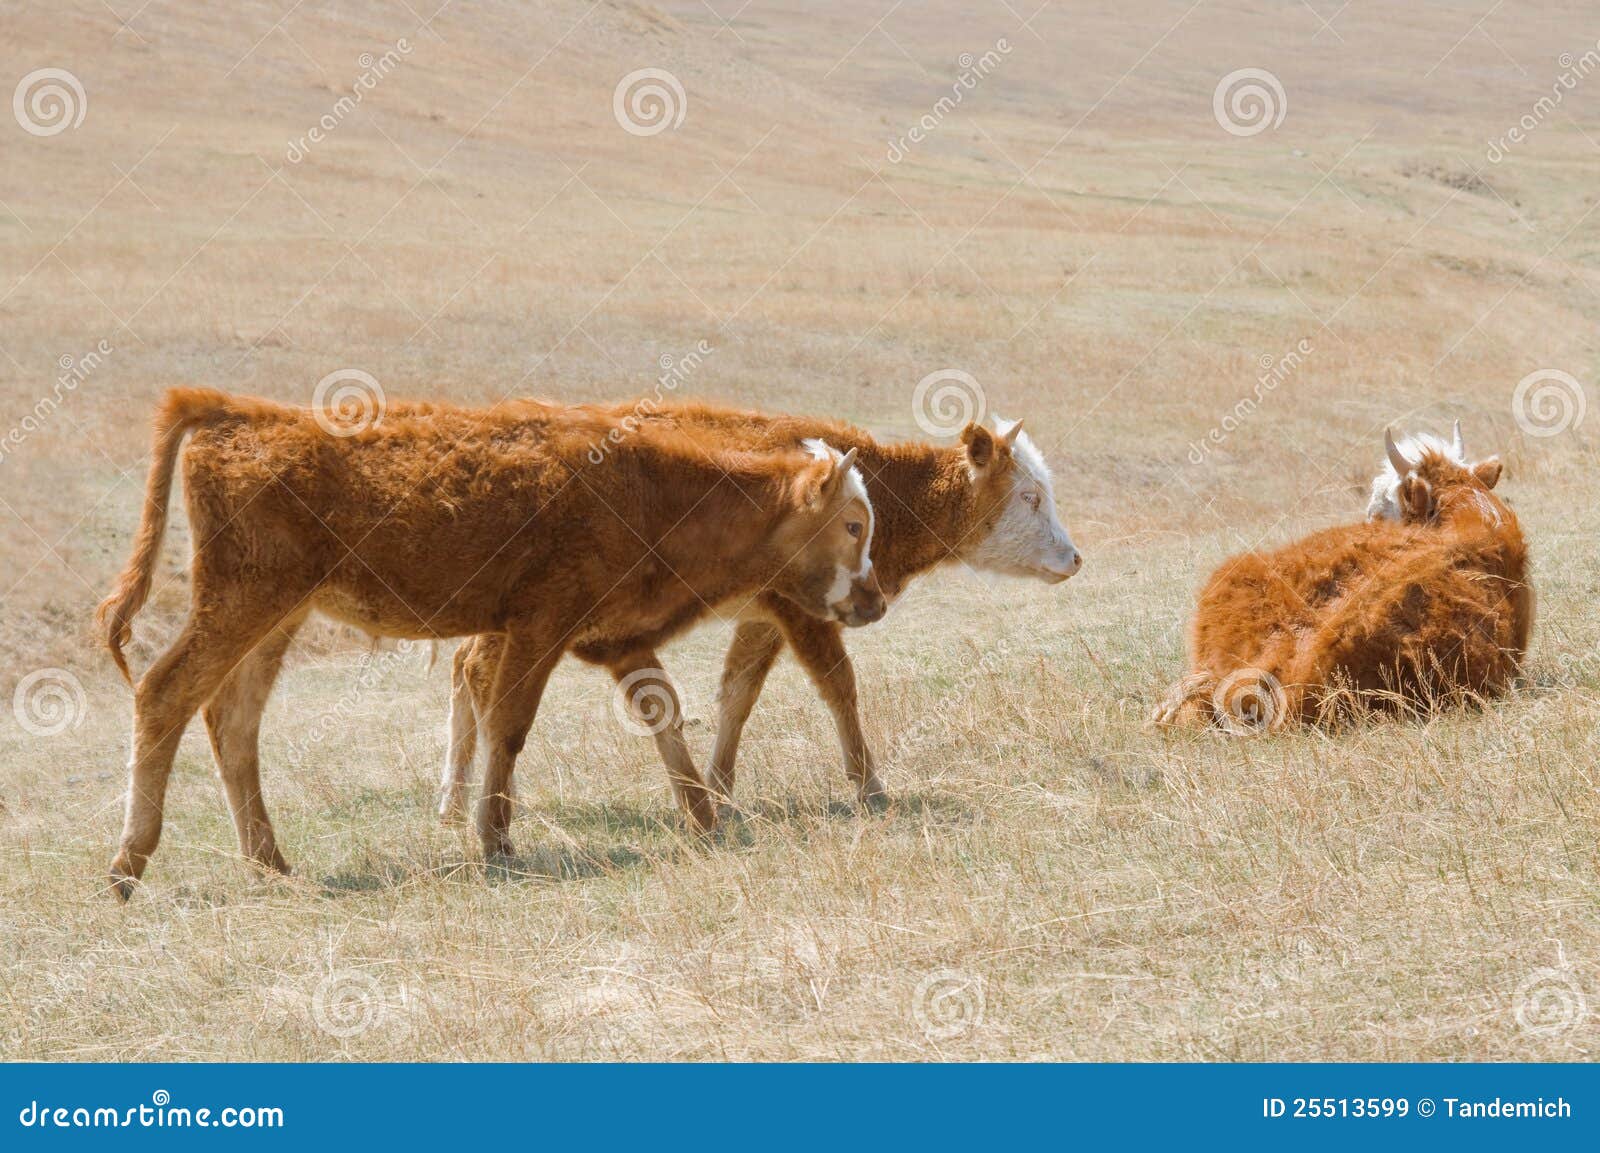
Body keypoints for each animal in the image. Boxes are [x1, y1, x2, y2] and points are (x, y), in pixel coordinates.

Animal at [95, 389, 883, 896]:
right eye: (852, 524)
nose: (873, 600)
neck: (651, 488)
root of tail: (238, 413)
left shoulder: (618, 638)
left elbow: (662, 714)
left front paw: (704, 816)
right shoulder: (539, 628)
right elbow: (509, 728)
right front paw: (495, 842)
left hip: (275, 619)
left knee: (232, 721)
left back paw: (268, 860)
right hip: (239, 605)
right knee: (165, 694)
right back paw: (129, 863)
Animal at [440, 402, 1082, 821]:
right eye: (1029, 496)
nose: (1074, 558)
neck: (877, 490)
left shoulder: (765, 617)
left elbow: (738, 692)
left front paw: (720, 789)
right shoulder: (805, 615)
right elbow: (839, 686)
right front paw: (870, 787)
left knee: (467, 669)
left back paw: (462, 800)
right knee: (476, 673)